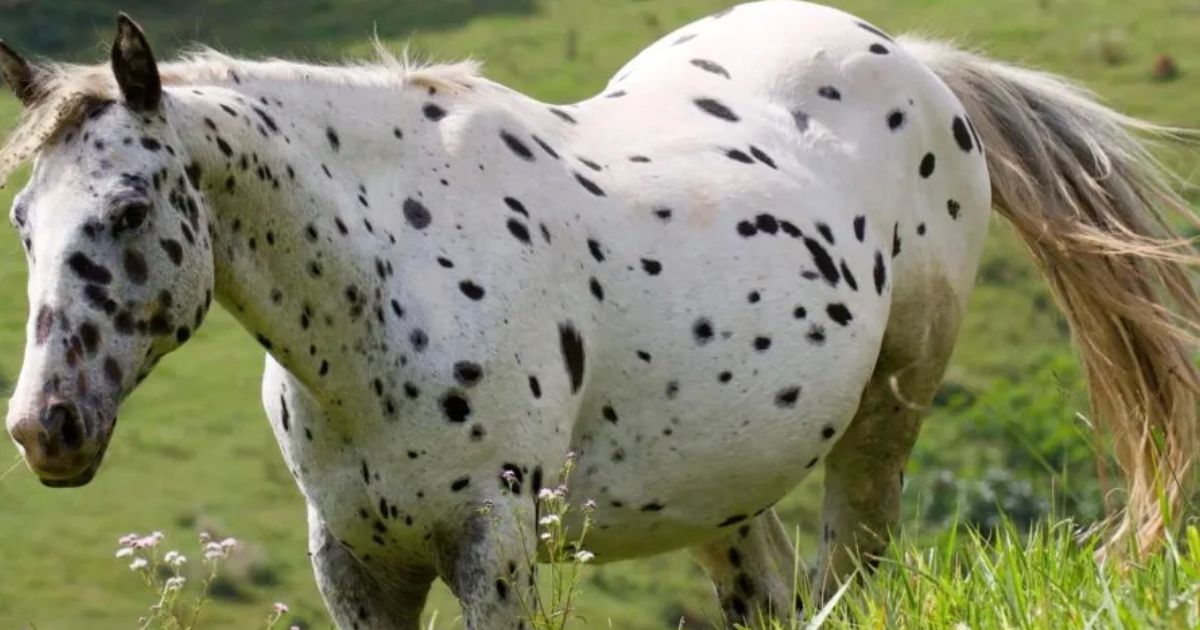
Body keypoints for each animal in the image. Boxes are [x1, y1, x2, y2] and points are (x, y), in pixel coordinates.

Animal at [2, 2, 1198, 627]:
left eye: (129, 205)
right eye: (21, 221)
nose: (43, 428)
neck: (382, 294)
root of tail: (913, 60)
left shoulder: (492, 545)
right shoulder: (356, 563)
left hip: (886, 425)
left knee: (851, 571)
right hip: (724, 489)